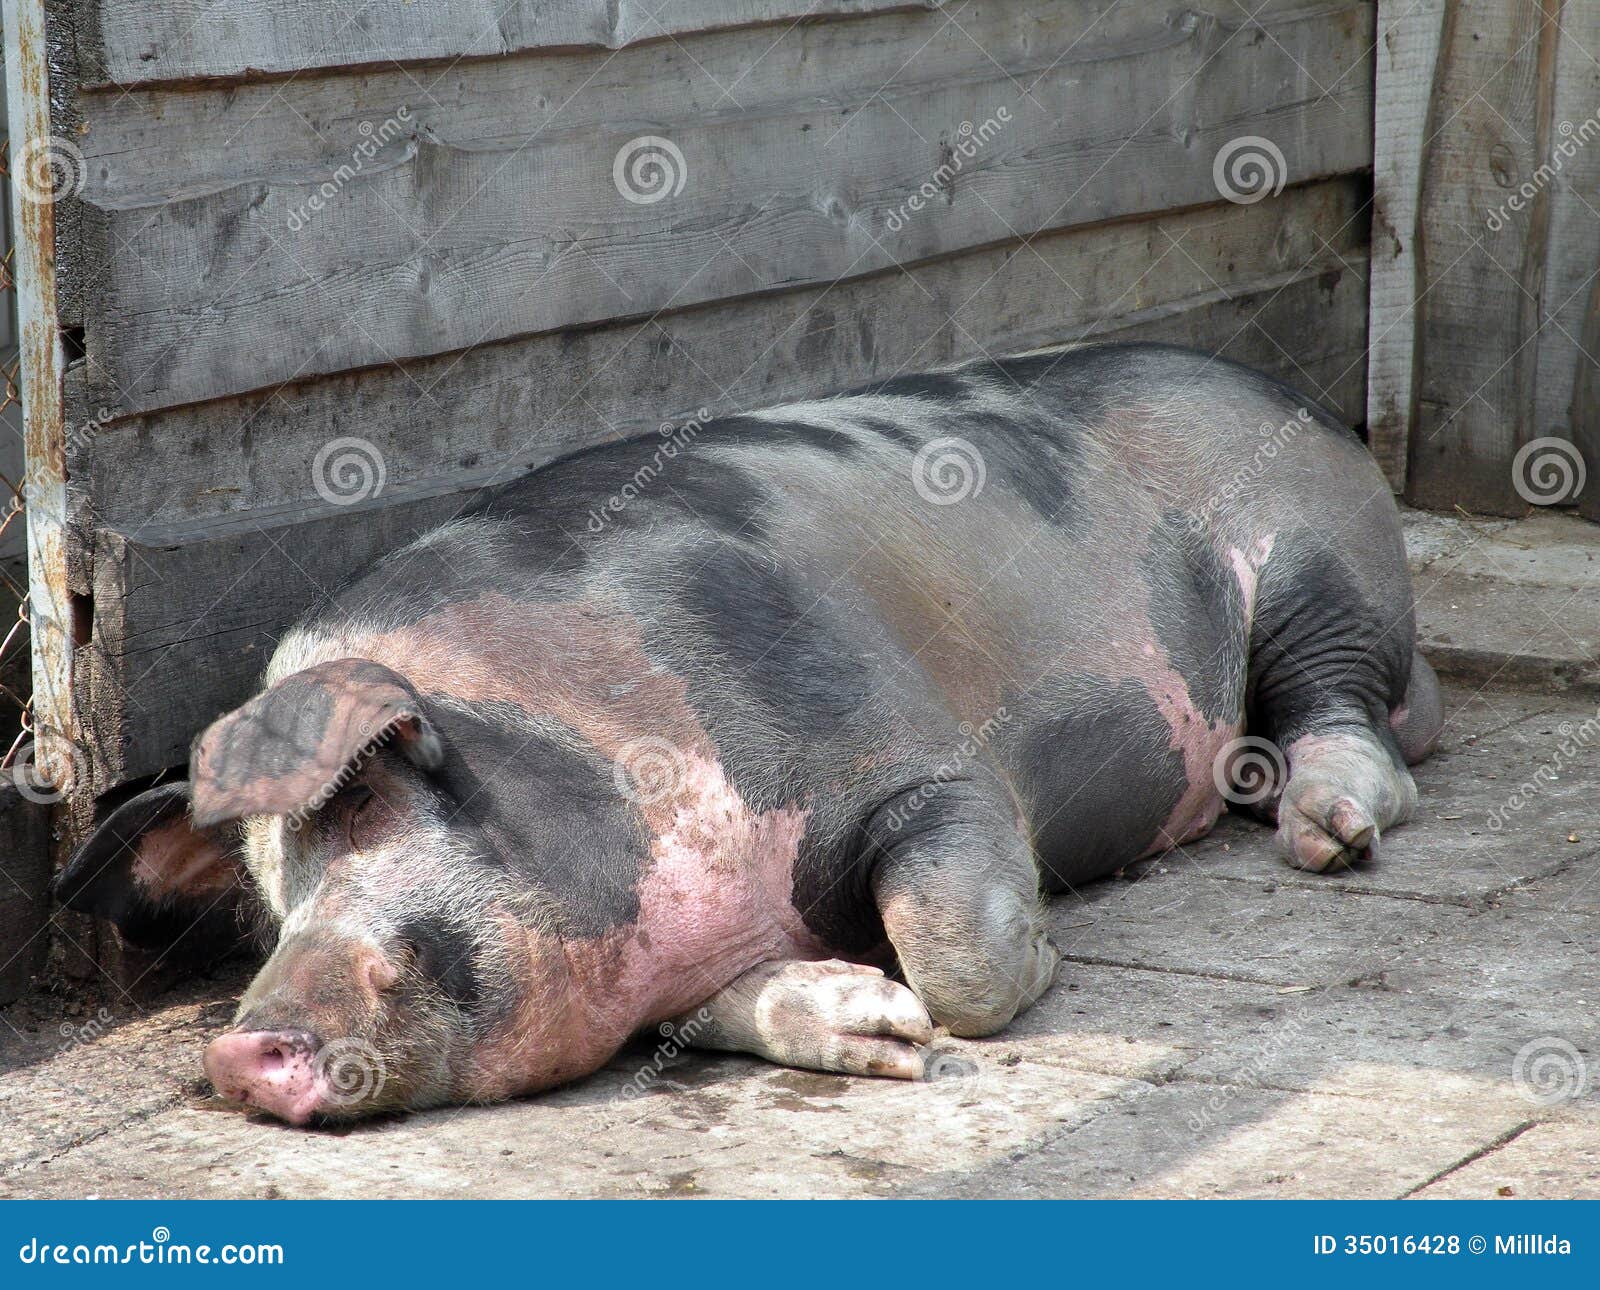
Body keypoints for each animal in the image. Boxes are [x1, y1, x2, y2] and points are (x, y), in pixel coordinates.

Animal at [54, 343, 1441, 1125]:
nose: (242, 1047)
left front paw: (1020, 973)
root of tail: (1285, 394)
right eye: (267, 894)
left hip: (1317, 552)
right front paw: (870, 1024)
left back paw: (1326, 833)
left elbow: (956, 948)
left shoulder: (924, 759)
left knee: (1339, 705)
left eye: (364, 807)